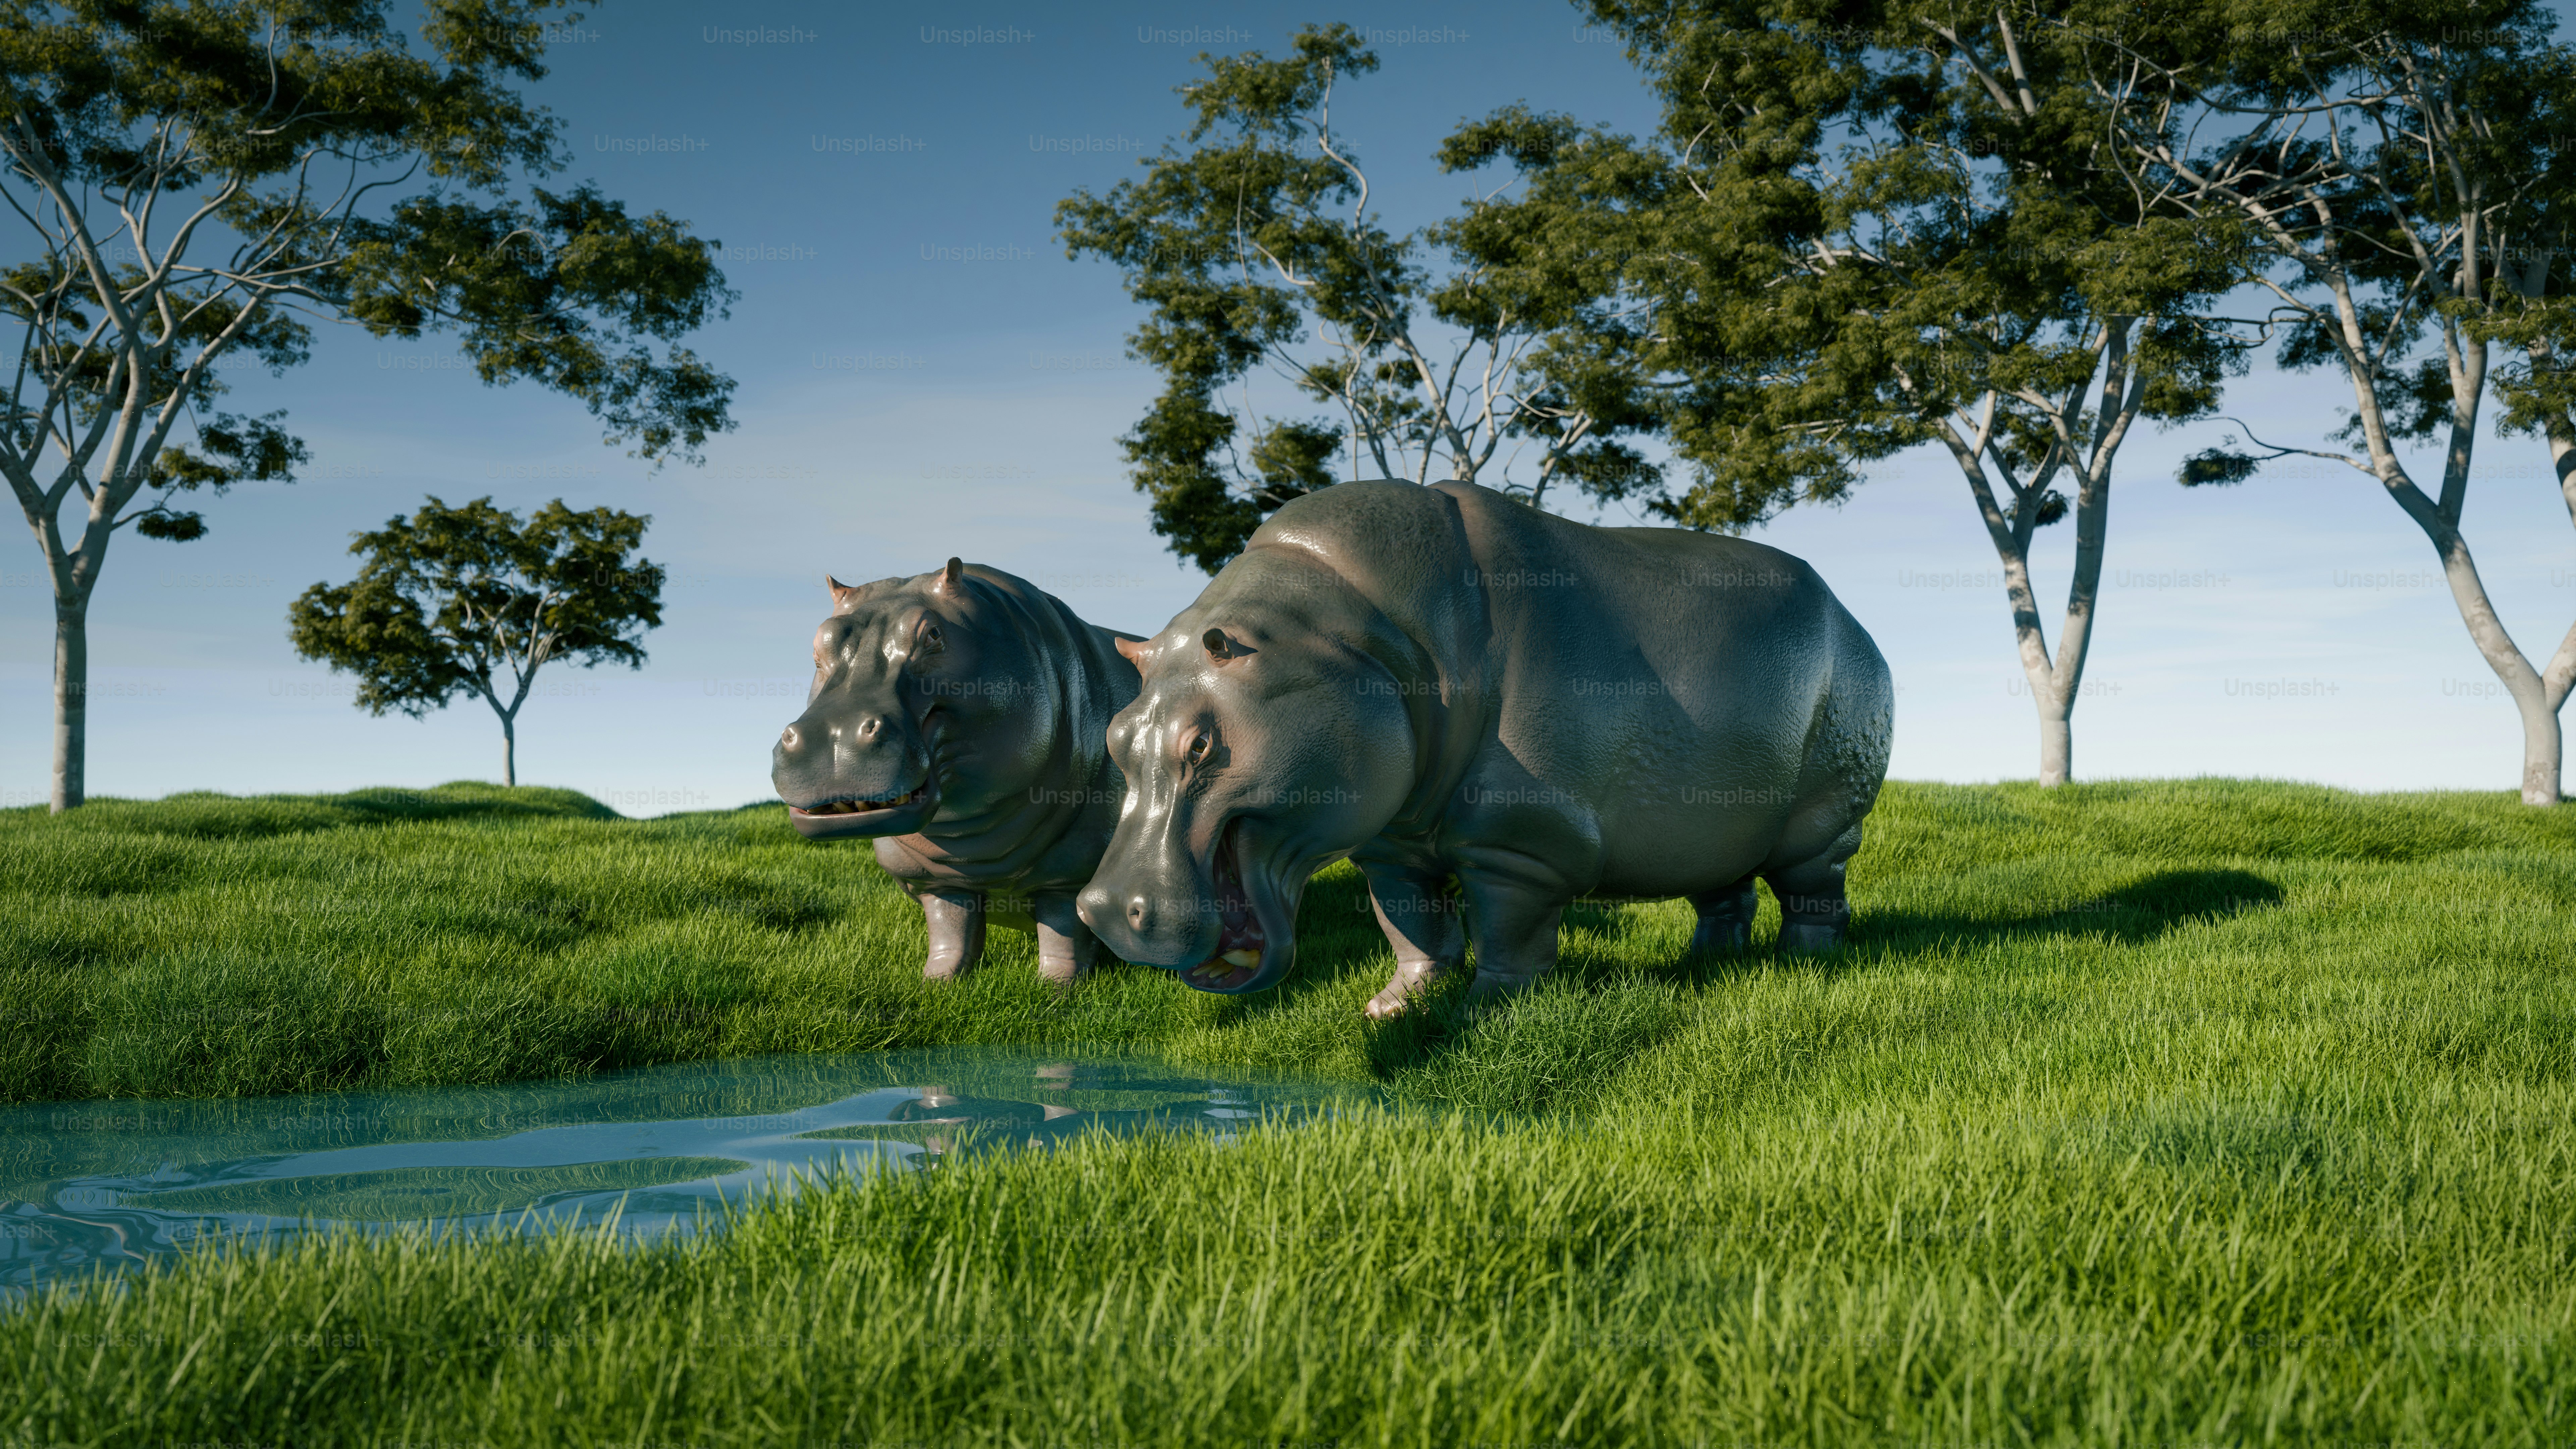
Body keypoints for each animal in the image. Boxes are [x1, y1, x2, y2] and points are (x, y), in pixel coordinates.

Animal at [772, 559, 1141, 984]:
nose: (834, 735)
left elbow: (1064, 936)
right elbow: (951, 930)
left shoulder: (1067, 879)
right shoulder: (940, 881)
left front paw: (1055, 987)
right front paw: (936, 982)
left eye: (934, 634)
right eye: (819, 643)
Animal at [1076, 479, 1893, 1019]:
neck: (1342, 633)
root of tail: (1854, 620)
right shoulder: (1390, 844)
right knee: (1725, 894)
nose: (1107, 910)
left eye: (1201, 743)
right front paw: (1393, 1009)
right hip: (1714, 824)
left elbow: (1509, 934)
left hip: (1825, 819)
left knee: (1815, 893)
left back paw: (1804, 966)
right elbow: (1413, 927)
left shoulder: (1520, 845)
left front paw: (1483, 1014)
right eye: (1117, 734)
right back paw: (1706, 964)